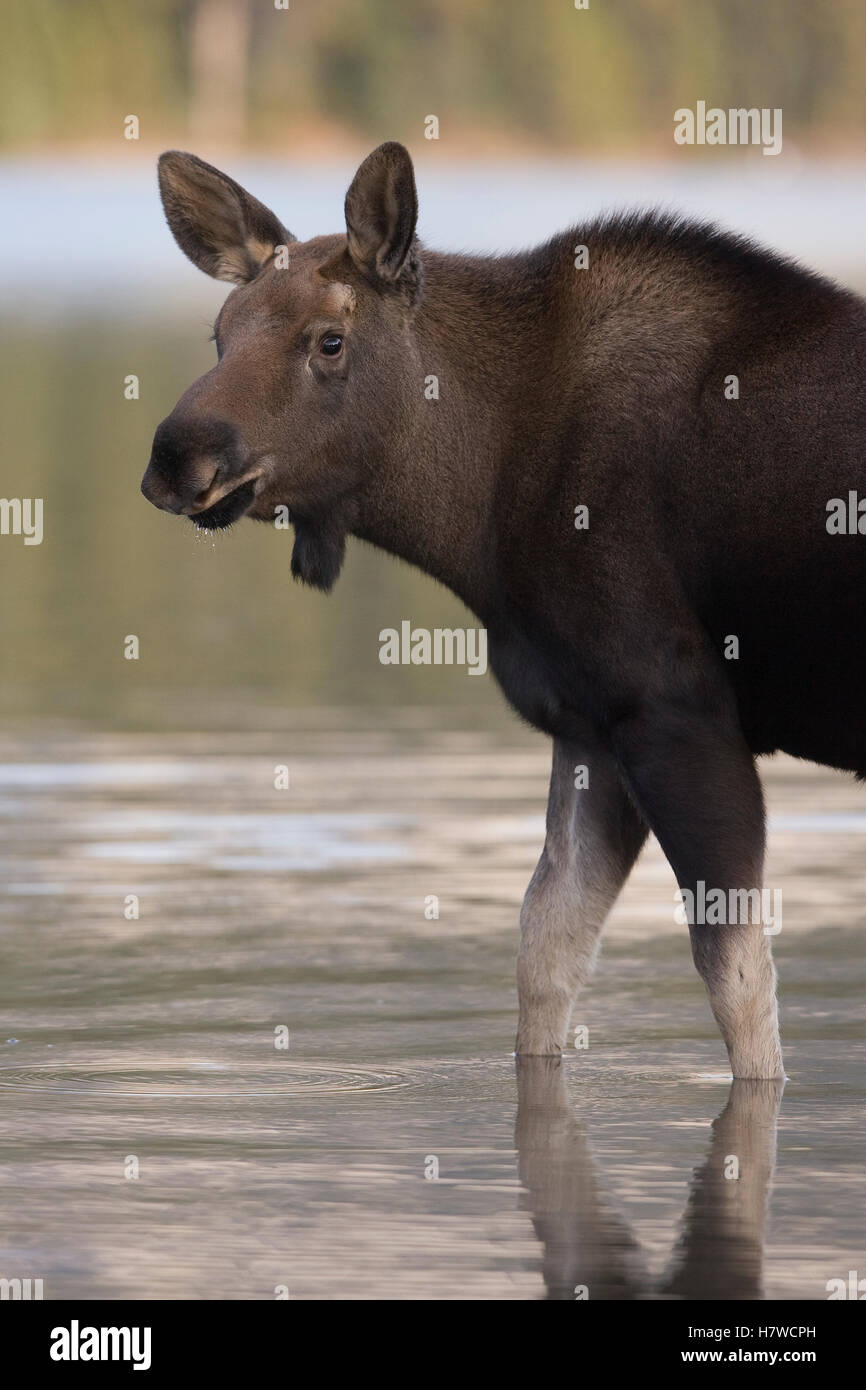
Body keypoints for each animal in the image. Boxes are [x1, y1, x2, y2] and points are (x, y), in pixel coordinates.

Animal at [142, 141, 866, 1080]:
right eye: (220, 333)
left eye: (329, 339)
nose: (177, 455)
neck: (475, 513)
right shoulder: (587, 723)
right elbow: (544, 951)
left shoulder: (676, 709)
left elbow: (740, 990)